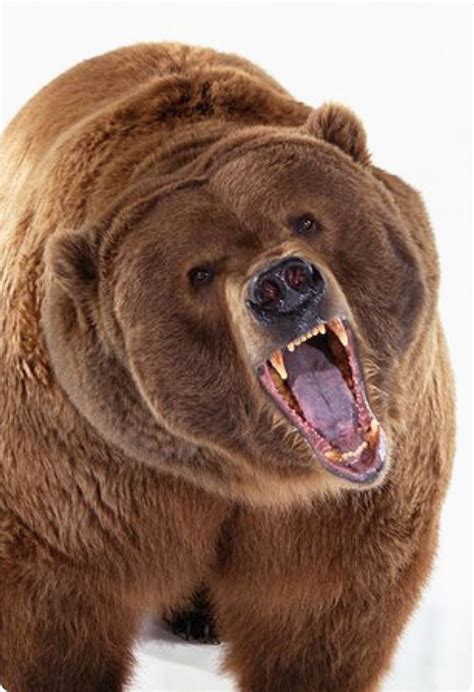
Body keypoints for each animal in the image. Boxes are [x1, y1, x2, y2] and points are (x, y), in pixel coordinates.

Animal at [0, 42, 455, 692]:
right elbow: (58, 593)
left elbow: (320, 610)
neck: (245, 474)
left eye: (306, 219)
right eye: (200, 272)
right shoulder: (79, 461)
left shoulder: (361, 495)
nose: (283, 286)